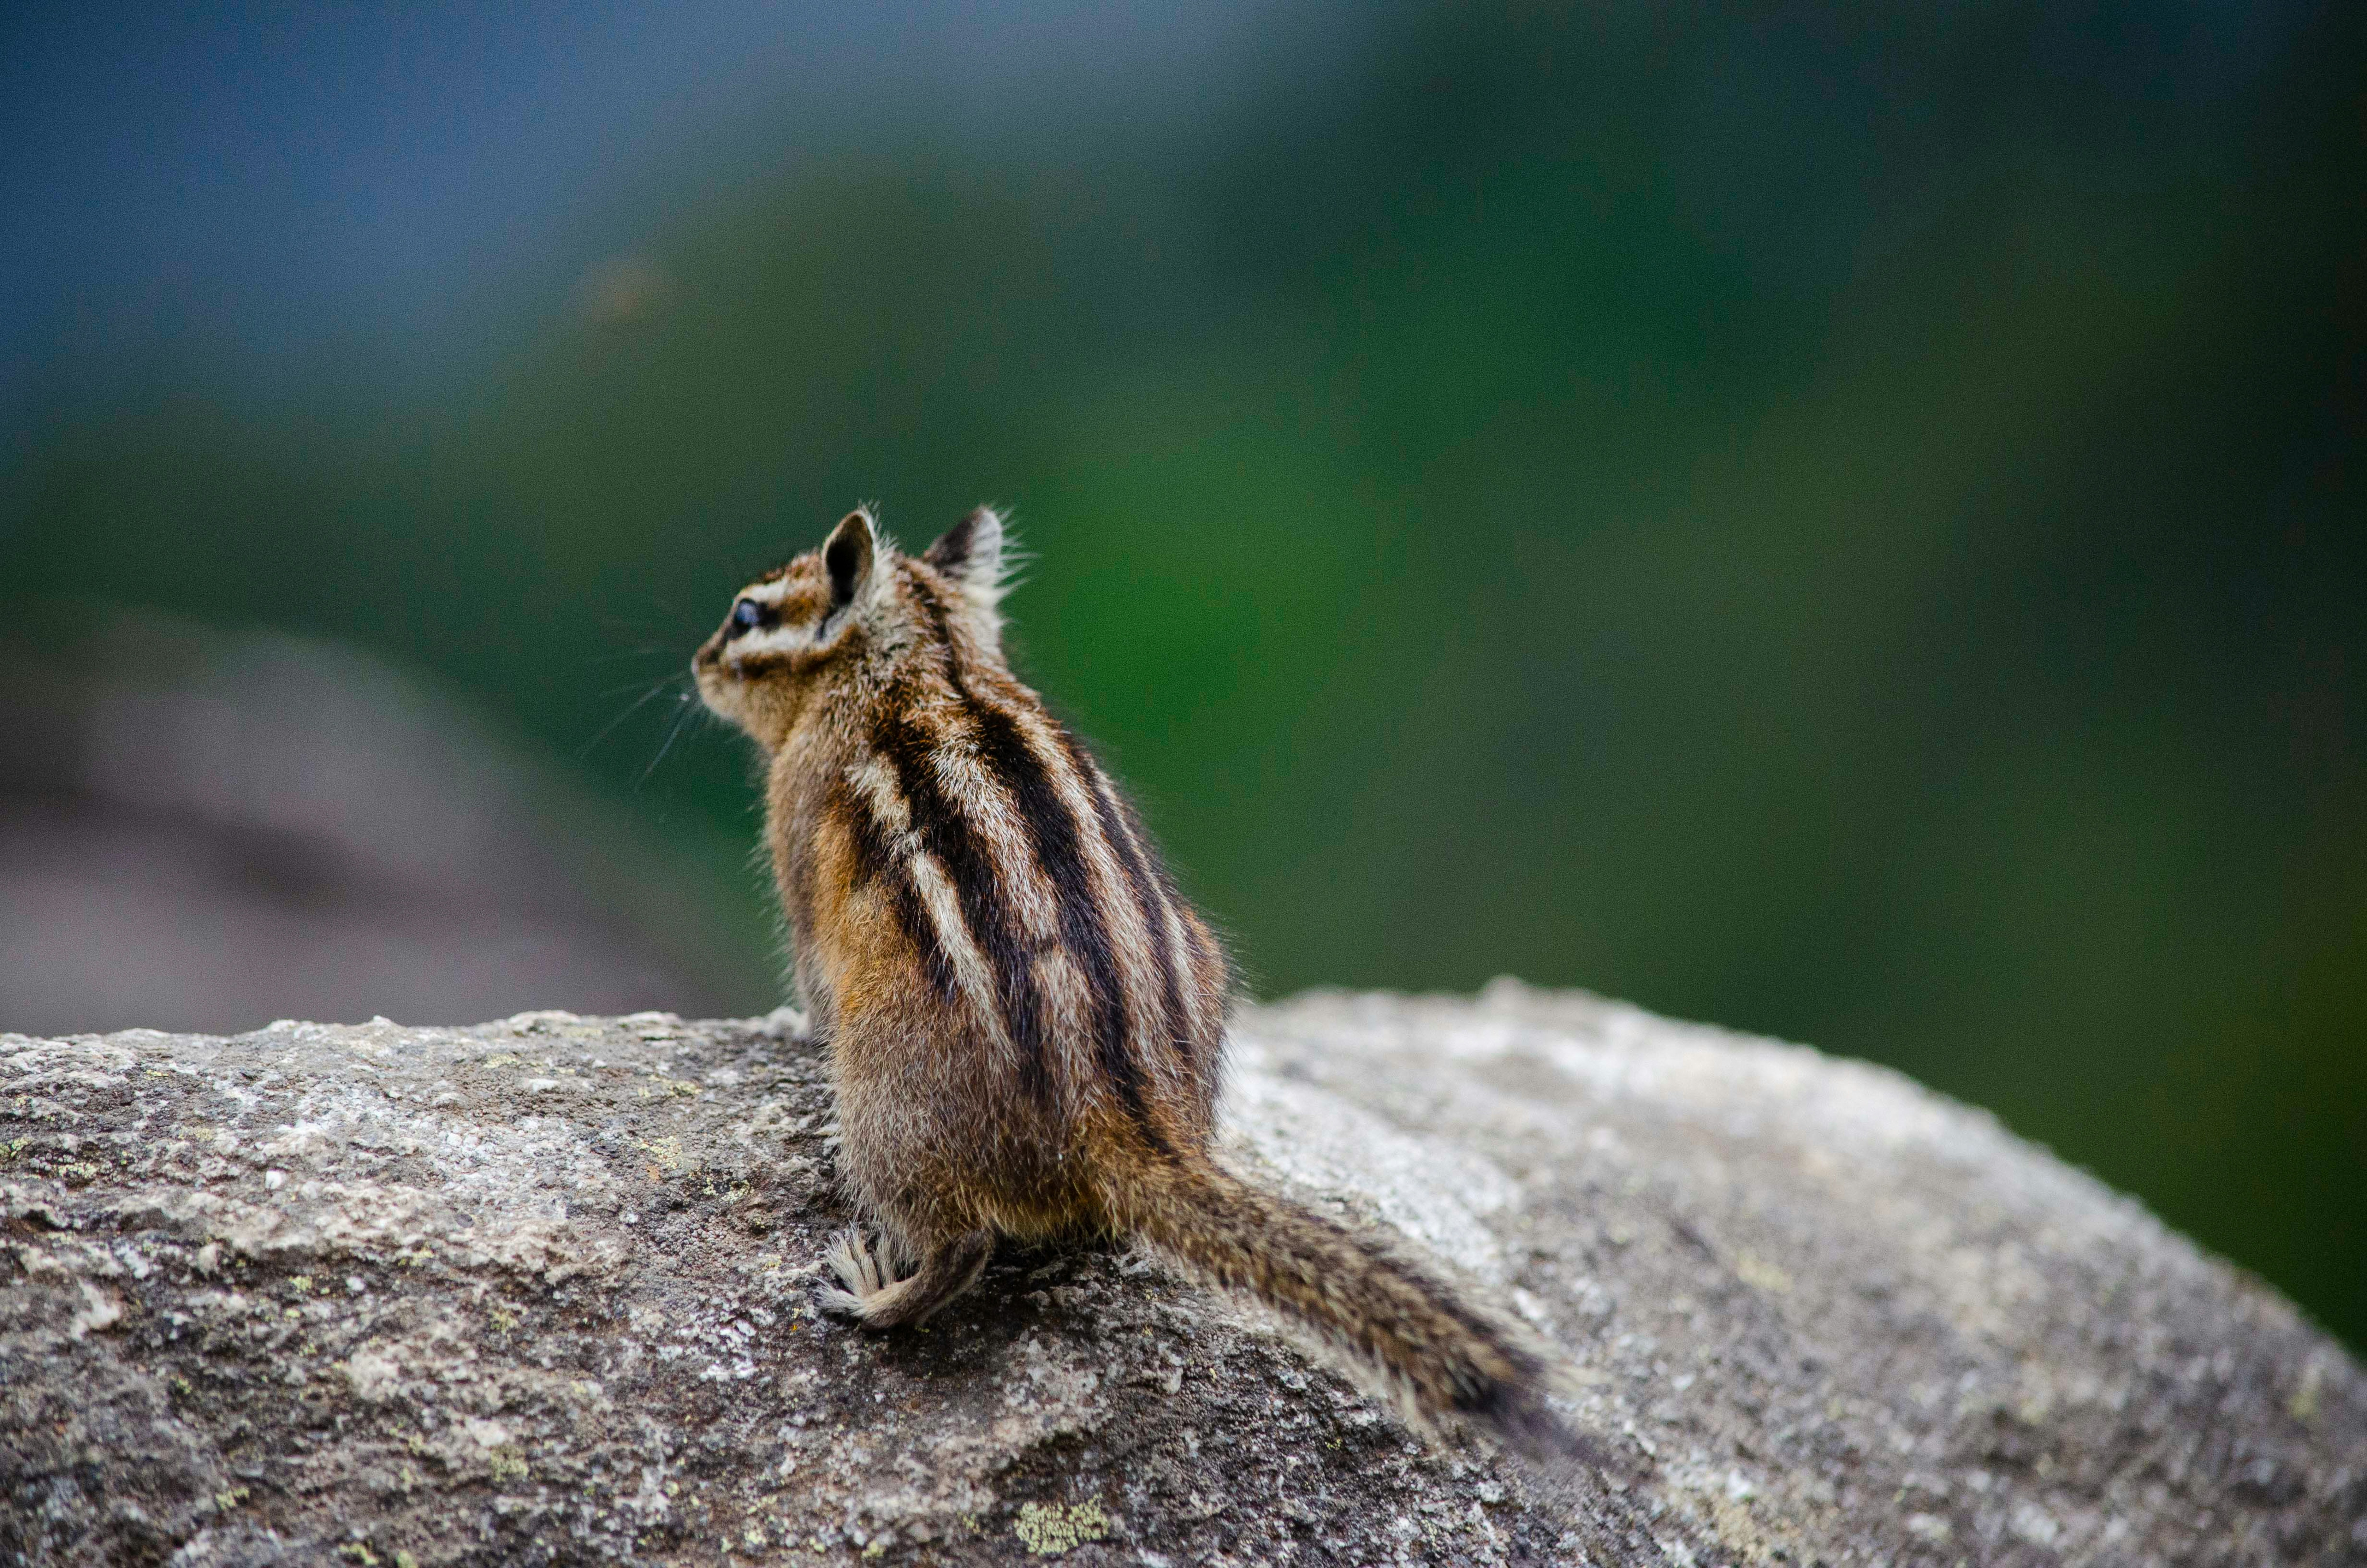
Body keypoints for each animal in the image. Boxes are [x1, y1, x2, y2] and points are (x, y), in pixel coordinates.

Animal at [693, 505, 1595, 1463]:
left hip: (883, 1108)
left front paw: (781, 1024)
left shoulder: (796, 843)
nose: (700, 665)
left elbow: (808, 979)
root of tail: (1130, 1121)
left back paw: (872, 1294)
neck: (925, 662)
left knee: (959, 1247)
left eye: (746, 615)